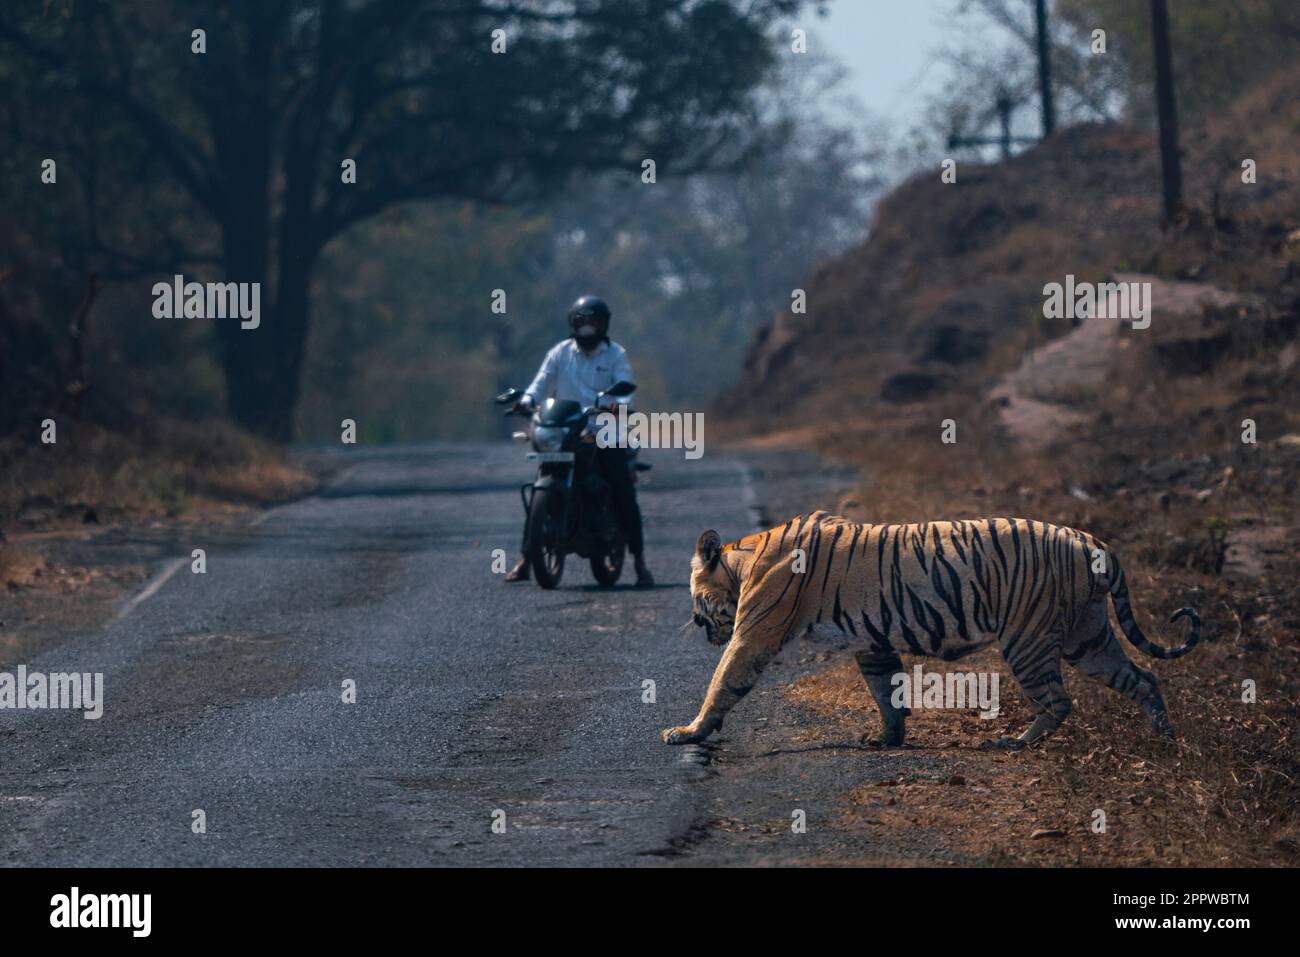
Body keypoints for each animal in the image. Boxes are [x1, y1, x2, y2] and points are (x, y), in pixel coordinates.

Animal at [662, 512, 1201, 749]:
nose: (695, 623)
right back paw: (1167, 740)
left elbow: (722, 681)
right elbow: (886, 691)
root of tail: (1088, 538)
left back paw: (1015, 742)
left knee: (1058, 700)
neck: (743, 561)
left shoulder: (755, 634)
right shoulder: (871, 643)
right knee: (1143, 679)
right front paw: (889, 738)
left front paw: (688, 731)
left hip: (1028, 639)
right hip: (1086, 637)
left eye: (695, 596)